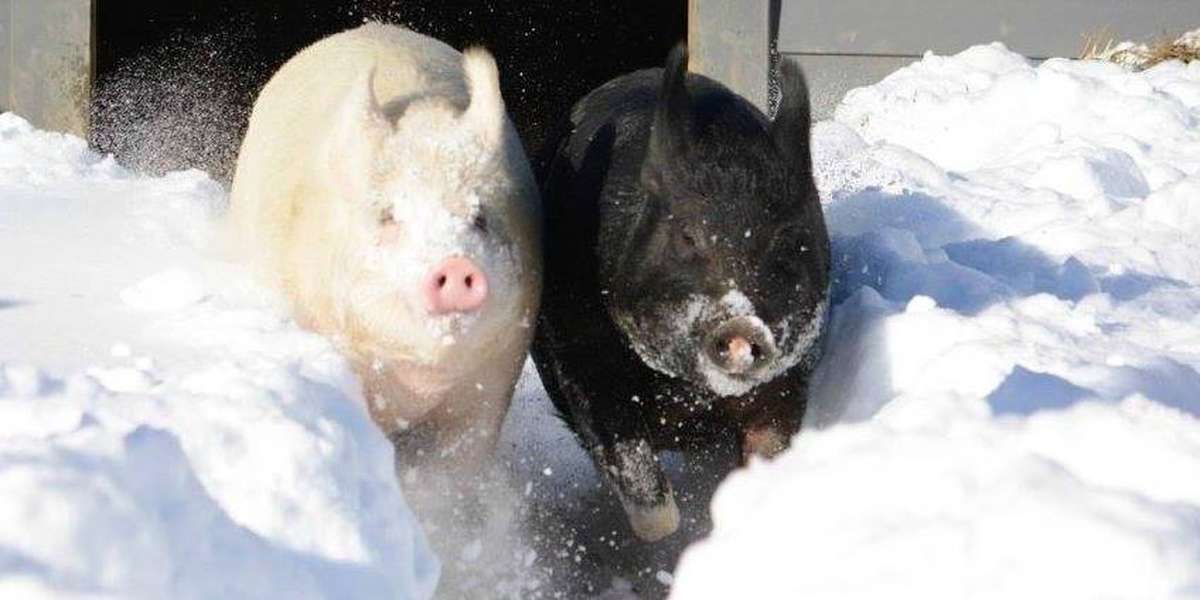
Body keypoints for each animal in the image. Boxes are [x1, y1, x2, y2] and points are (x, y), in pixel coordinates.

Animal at [531, 44, 830, 542]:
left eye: (788, 241)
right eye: (687, 236)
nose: (742, 323)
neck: (688, 395)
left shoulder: (791, 371)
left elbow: (768, 445)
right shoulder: (579, 354)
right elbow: (647, 498)